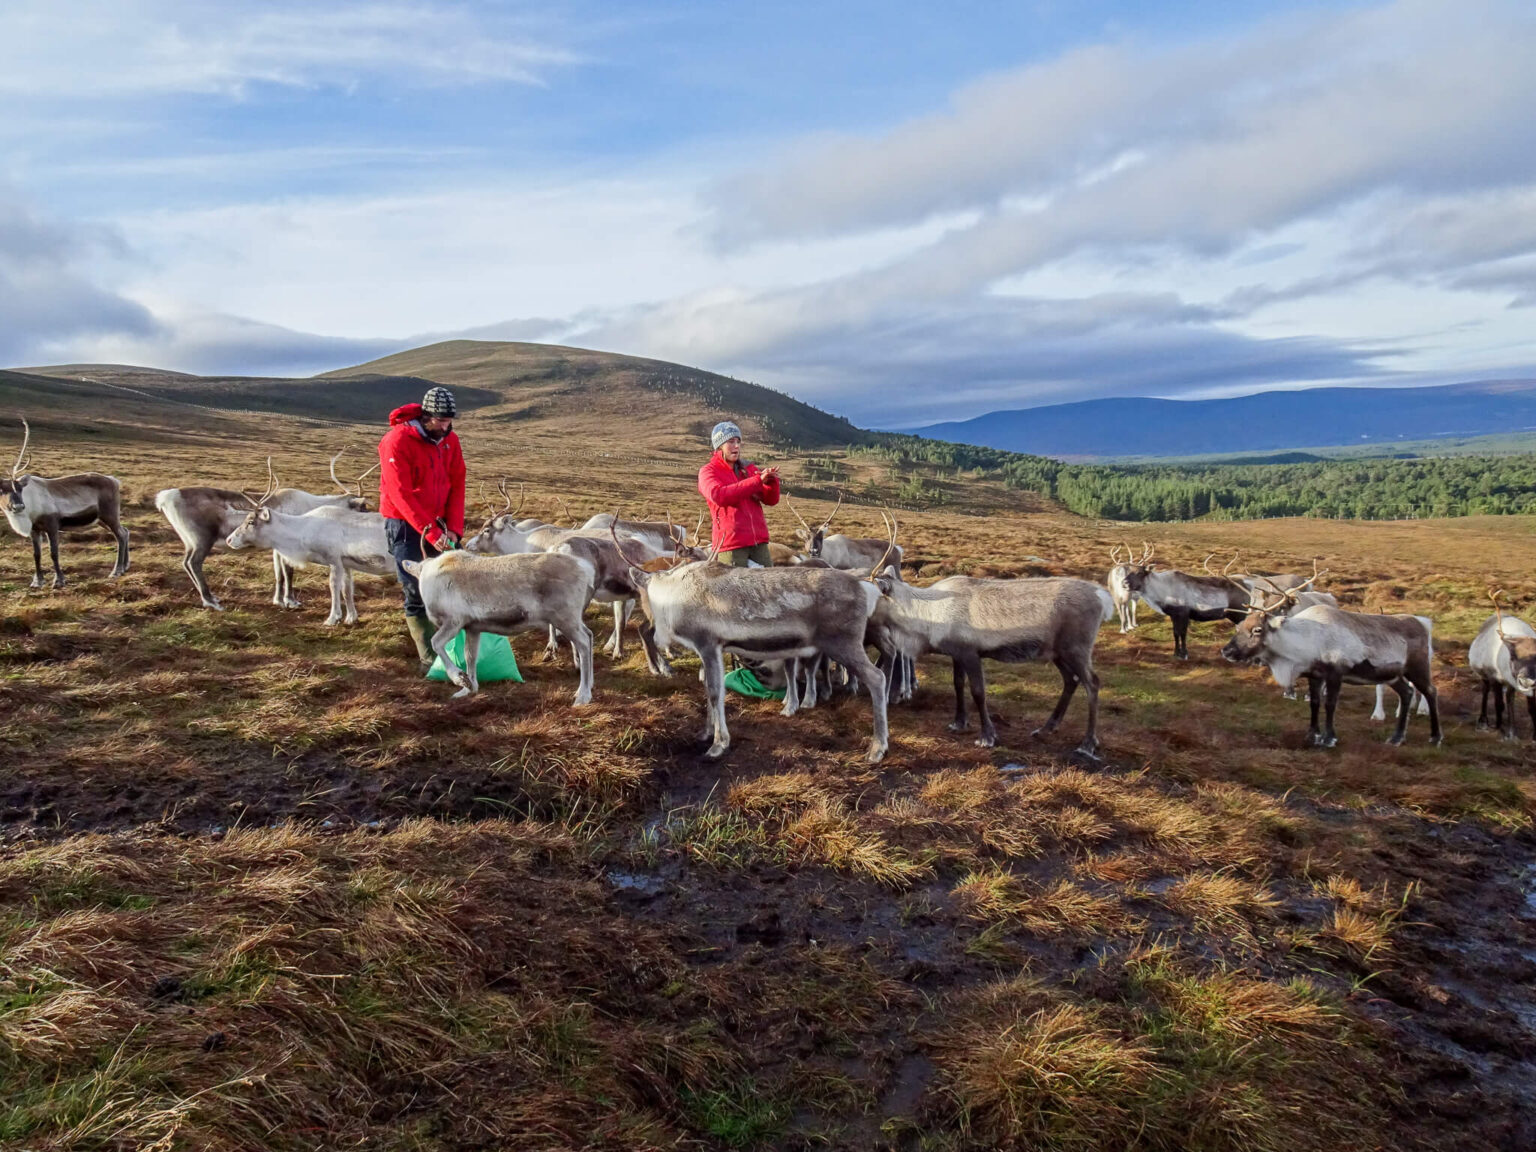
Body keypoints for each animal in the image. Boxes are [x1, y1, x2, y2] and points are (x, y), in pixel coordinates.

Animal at [2, 419, 130, 589]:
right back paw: (125, 567)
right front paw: (37, 581)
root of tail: (114, 480)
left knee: (120, 535)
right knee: (126, 531)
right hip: (100, 520)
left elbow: (53, 553)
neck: (31, 508)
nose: (18, 507)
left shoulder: (52, 525)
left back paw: (116, 571)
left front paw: (59, 581)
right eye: (1, 490)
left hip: (110, 515)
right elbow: (36, 554)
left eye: (20, 488)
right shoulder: (34, 530)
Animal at [155, 454, 374, 610]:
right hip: (202, 539)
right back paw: (210, 600)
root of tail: (166, 497)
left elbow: (279, 574)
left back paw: (208, 597)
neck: (312, 507)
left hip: (189, 540)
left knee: (186, 562)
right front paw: (291, 601)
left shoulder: (278, 548)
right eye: (363, 508)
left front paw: (278, 600)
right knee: (194, 563)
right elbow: (289, 572)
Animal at [402, 549, 598, 704]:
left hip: (564, 617)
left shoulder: (454, 621)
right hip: (572, 619)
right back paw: (590, 685)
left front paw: (460, 678)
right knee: (589, 634)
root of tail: (587, 570)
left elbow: (436, 643)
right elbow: (470, 656)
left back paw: (582, 695)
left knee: (583, 643)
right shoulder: (472, 627)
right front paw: (469, 688)